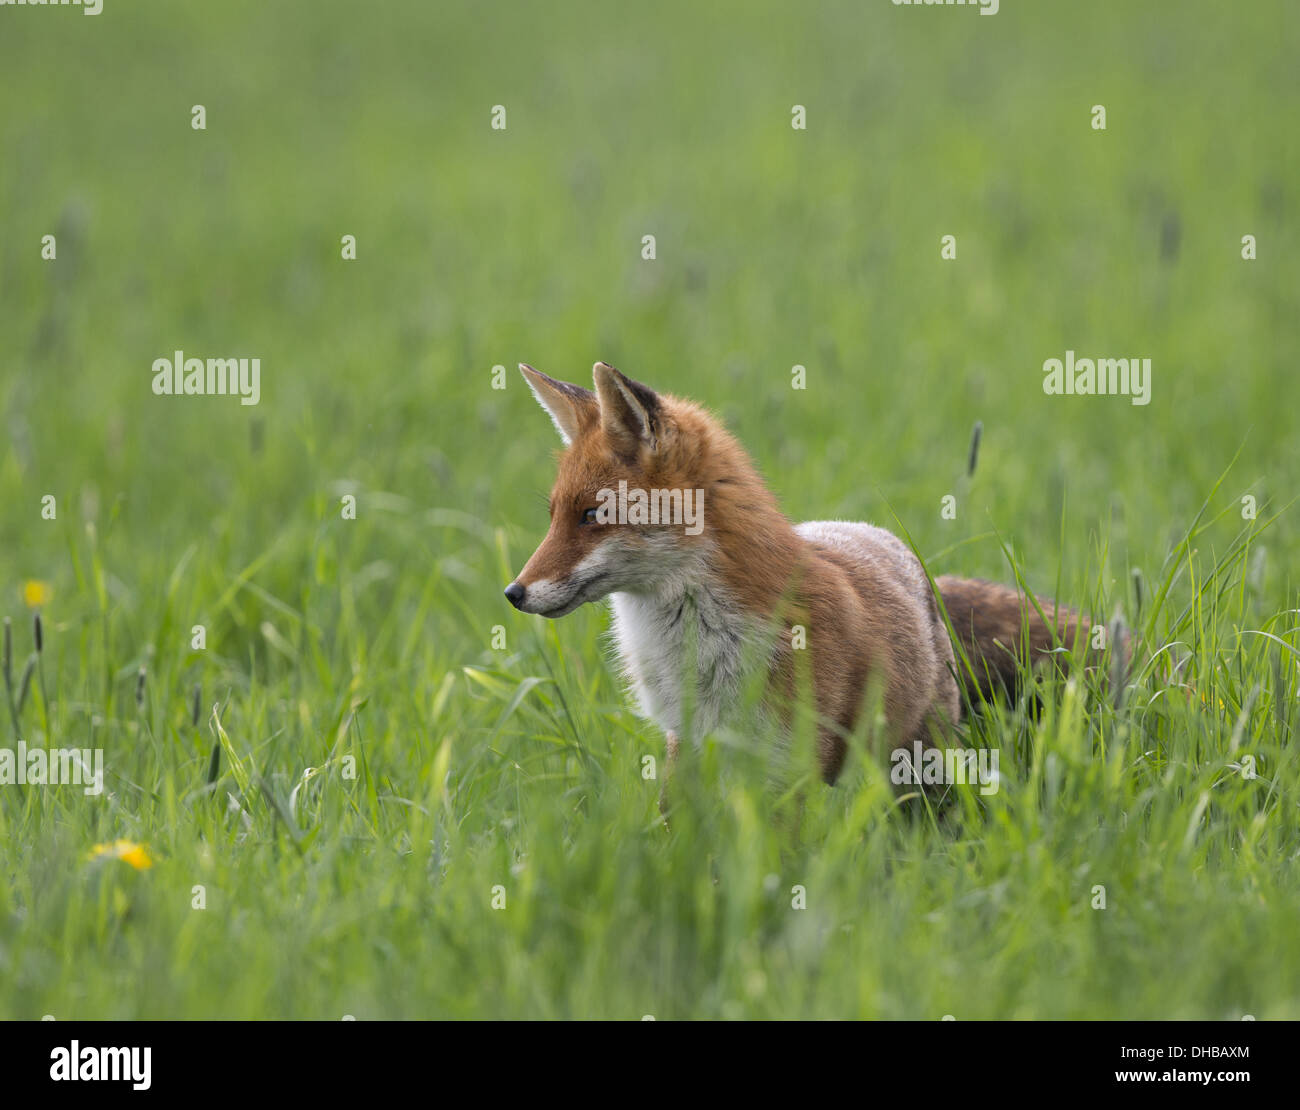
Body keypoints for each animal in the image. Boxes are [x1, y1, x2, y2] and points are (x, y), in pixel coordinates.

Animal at [505, 361, 1087, 786]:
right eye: (553, 515)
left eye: (591, 516)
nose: (513, 593)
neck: (700, 644)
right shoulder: (685, 741)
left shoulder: (795, 759)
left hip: (920, 758)